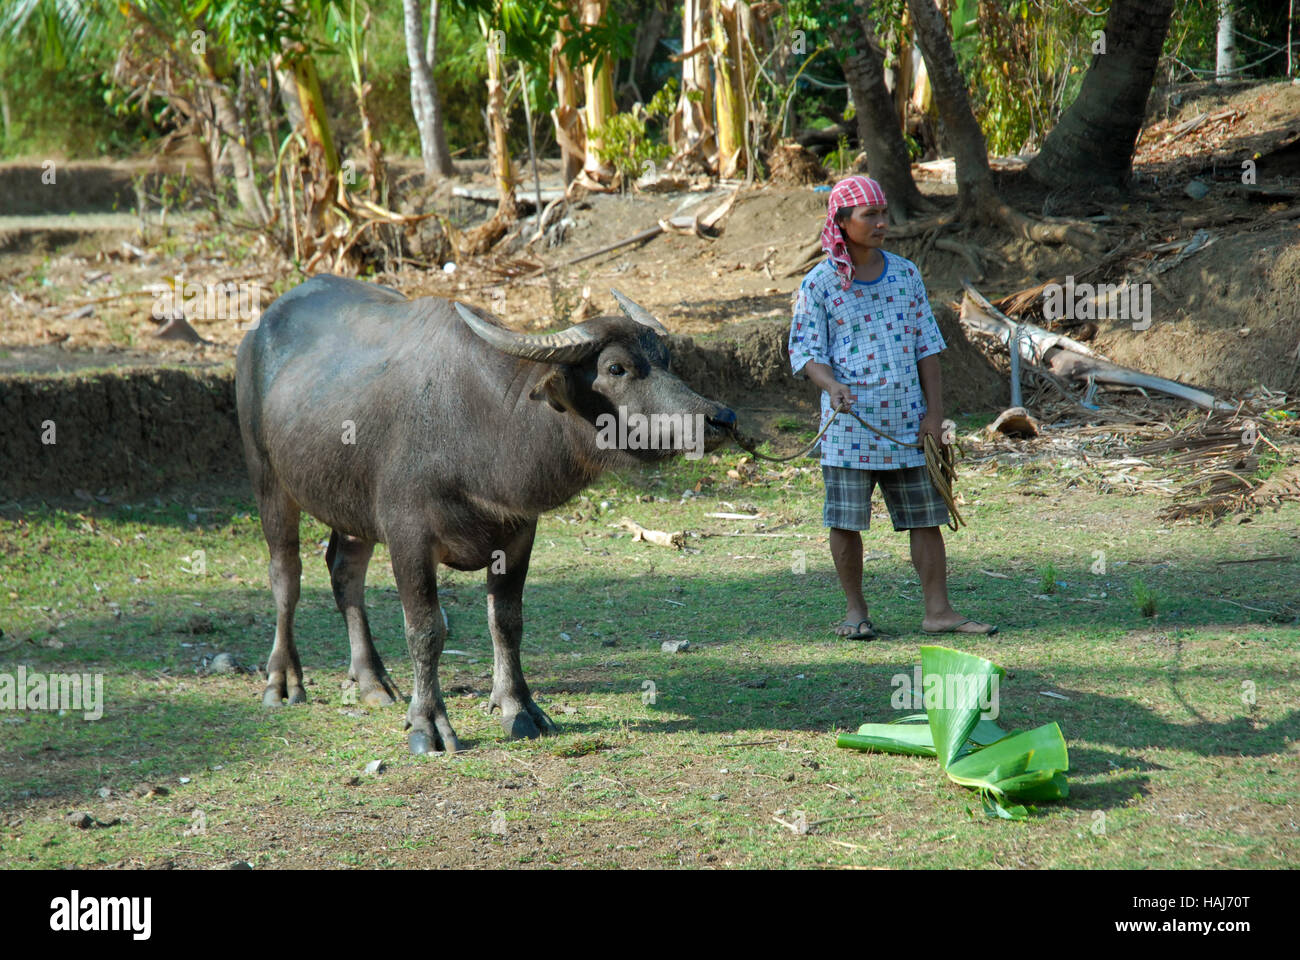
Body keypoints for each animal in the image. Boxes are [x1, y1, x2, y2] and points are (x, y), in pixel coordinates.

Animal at [235, 275, 735, 753]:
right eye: (616, 368)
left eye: (666, 359)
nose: (720, 417)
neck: (483, 425)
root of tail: (259, 331)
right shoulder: (408, 535)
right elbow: (425, 630)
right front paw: (428, 723)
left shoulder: (518, 533)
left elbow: (507, 621)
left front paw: (518, 706)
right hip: (267, 478)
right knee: (286, 576)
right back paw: (283, 681)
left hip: (351, 505)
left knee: (344, 572)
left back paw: (372, 680)